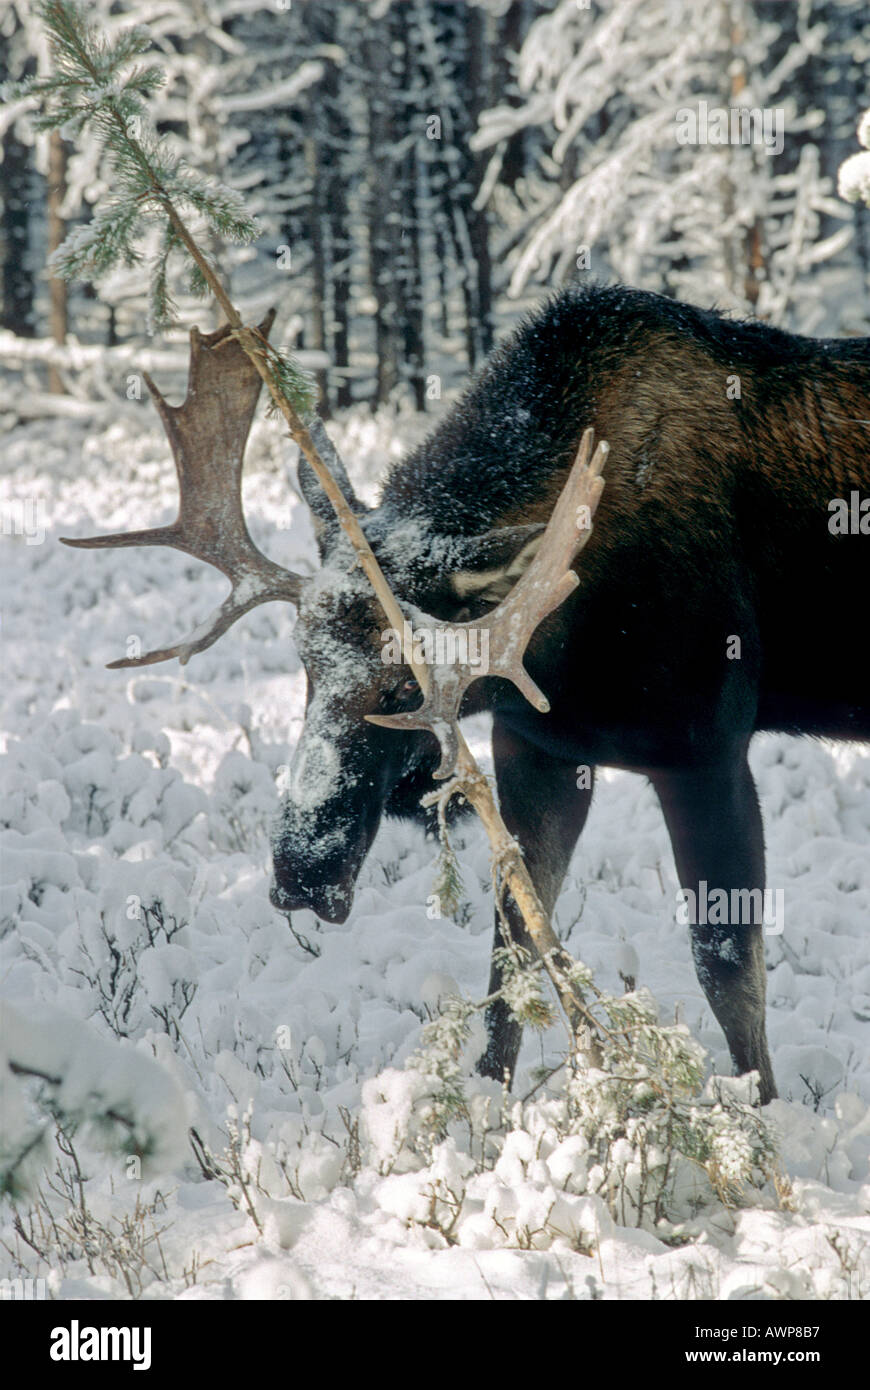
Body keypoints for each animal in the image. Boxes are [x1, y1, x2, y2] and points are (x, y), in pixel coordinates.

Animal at [63, 282, 870, 1105]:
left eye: (402, 687)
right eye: (305, 661)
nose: (301, 871)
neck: (572, 630)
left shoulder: (707, 750)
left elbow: (730, 974)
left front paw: (761, 1118)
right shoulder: (539, 745)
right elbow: (515, 943)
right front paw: (489, 1097)